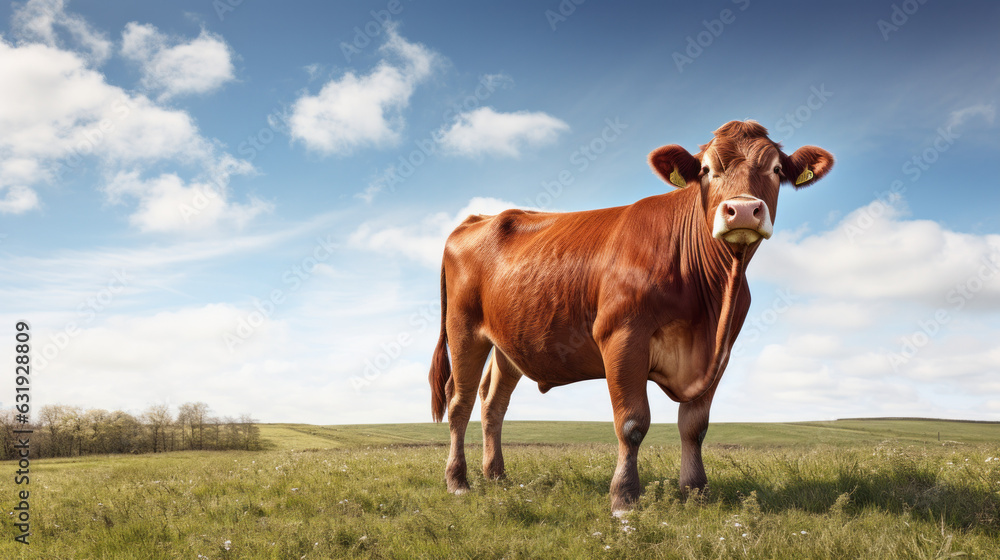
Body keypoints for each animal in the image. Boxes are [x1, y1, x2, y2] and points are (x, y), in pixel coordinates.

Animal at [428, 120, 833, 513]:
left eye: (776, 169)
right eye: (706, 170)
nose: (744, 210)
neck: (712, 301)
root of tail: (478, 218)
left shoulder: (720, 352)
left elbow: (695, 426)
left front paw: (695, 491)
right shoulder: (622, 336)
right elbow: (632, 422)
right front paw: (624, 497)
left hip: (509, 343)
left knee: (493, 404)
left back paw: (496, 476)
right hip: (464, 331)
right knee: (460, 402)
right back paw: (457, 481)